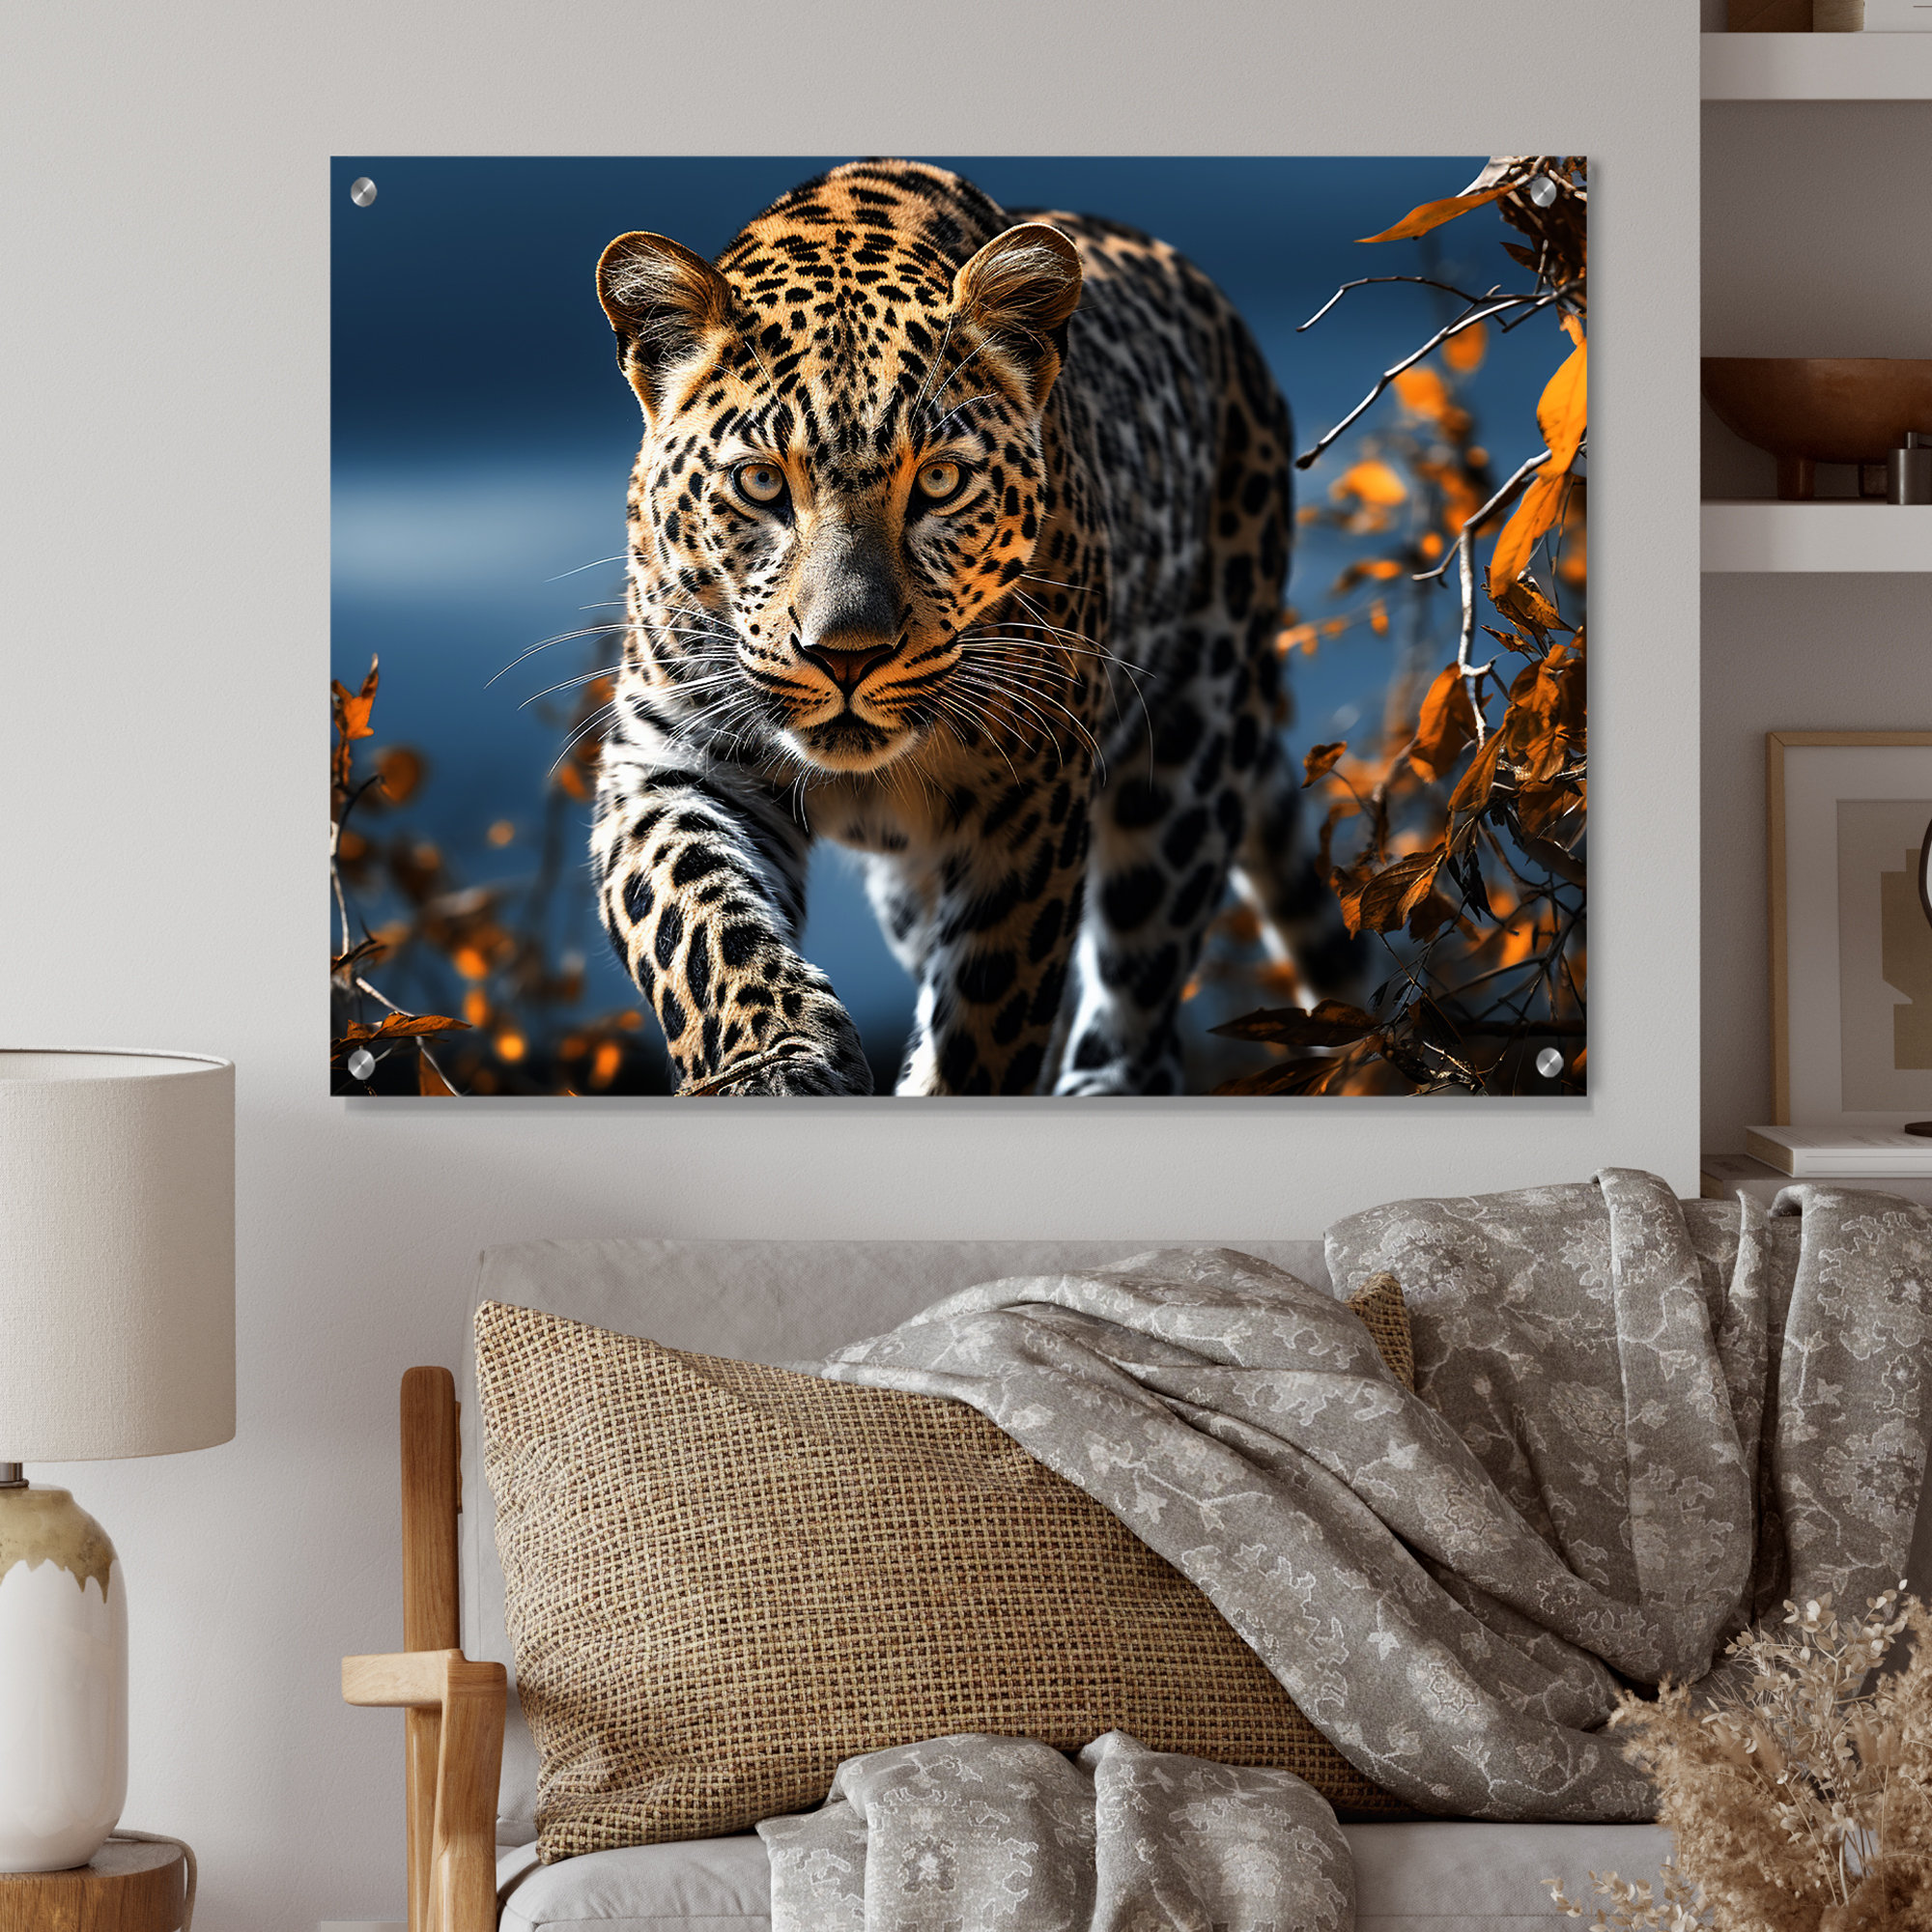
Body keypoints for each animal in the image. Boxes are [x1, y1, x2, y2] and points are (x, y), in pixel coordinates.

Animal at [589, 158, 1356, 1096]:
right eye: (763, 483)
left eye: (942, 482)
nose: (847, 657)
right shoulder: (672, 753)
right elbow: (693, 917)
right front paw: (770, 1062)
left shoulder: (1030, 794)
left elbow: (989, 1006)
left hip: (1188, 747)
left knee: (1141, 1000)